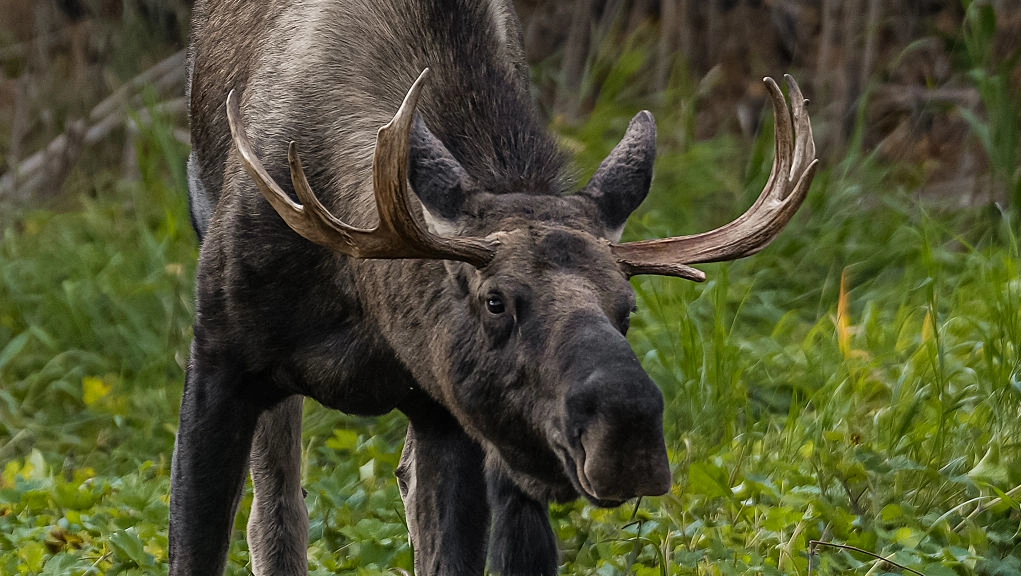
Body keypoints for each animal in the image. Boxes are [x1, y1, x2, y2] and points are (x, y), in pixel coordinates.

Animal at [174, 0, 817, 574]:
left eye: (627, 309)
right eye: (494, 300)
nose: (627, 434)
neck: (360, 298)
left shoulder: (445, 410)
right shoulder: (220, 362)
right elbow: (207, 541)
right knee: (277, 509)